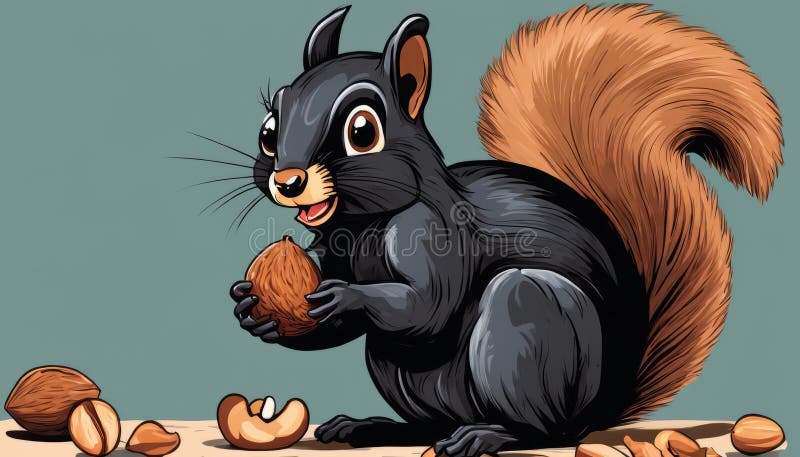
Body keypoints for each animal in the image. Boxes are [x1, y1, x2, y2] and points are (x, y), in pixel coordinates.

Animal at [228, 4, 783, 456]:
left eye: (362, 131)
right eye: (269, 129)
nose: (288, 181)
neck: (363, 222)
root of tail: (600, 408)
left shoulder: (433, 235)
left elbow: (427, 307)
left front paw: (346, 296)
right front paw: (251, 309)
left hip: (527, 318)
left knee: (544, 429)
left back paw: (490, 435)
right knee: (429, 426)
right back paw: (372, 427)